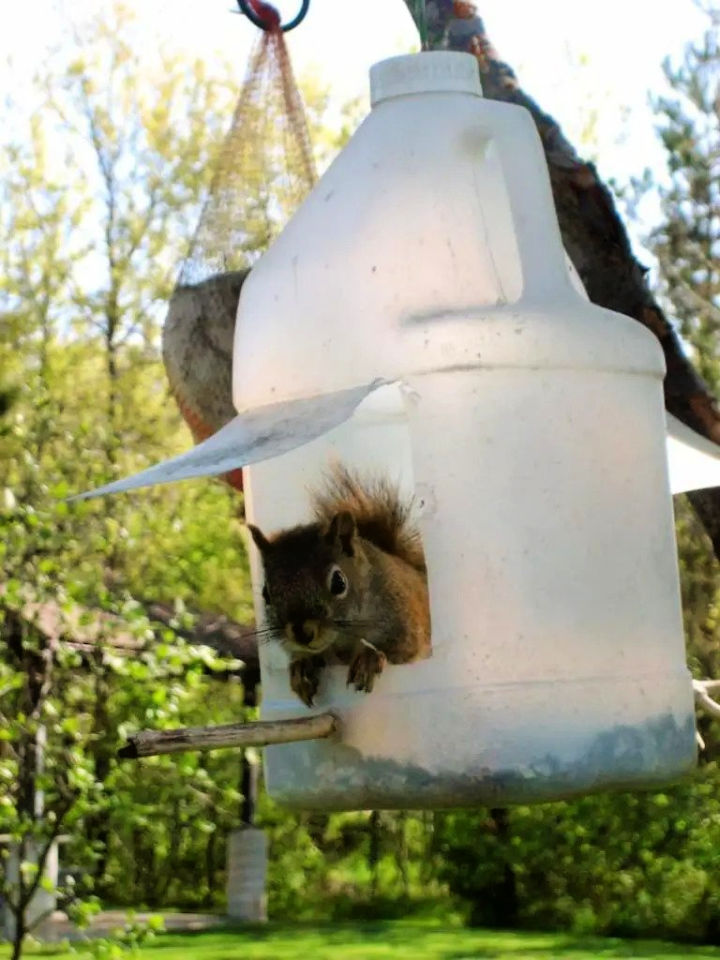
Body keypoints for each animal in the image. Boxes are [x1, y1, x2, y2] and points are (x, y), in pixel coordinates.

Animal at [248, 465, 431, 707]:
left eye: (339, 582)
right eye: (265, 594)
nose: (302, 633)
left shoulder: (405, 624)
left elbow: (402, 653)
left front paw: (369, 658)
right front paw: (302, 665)